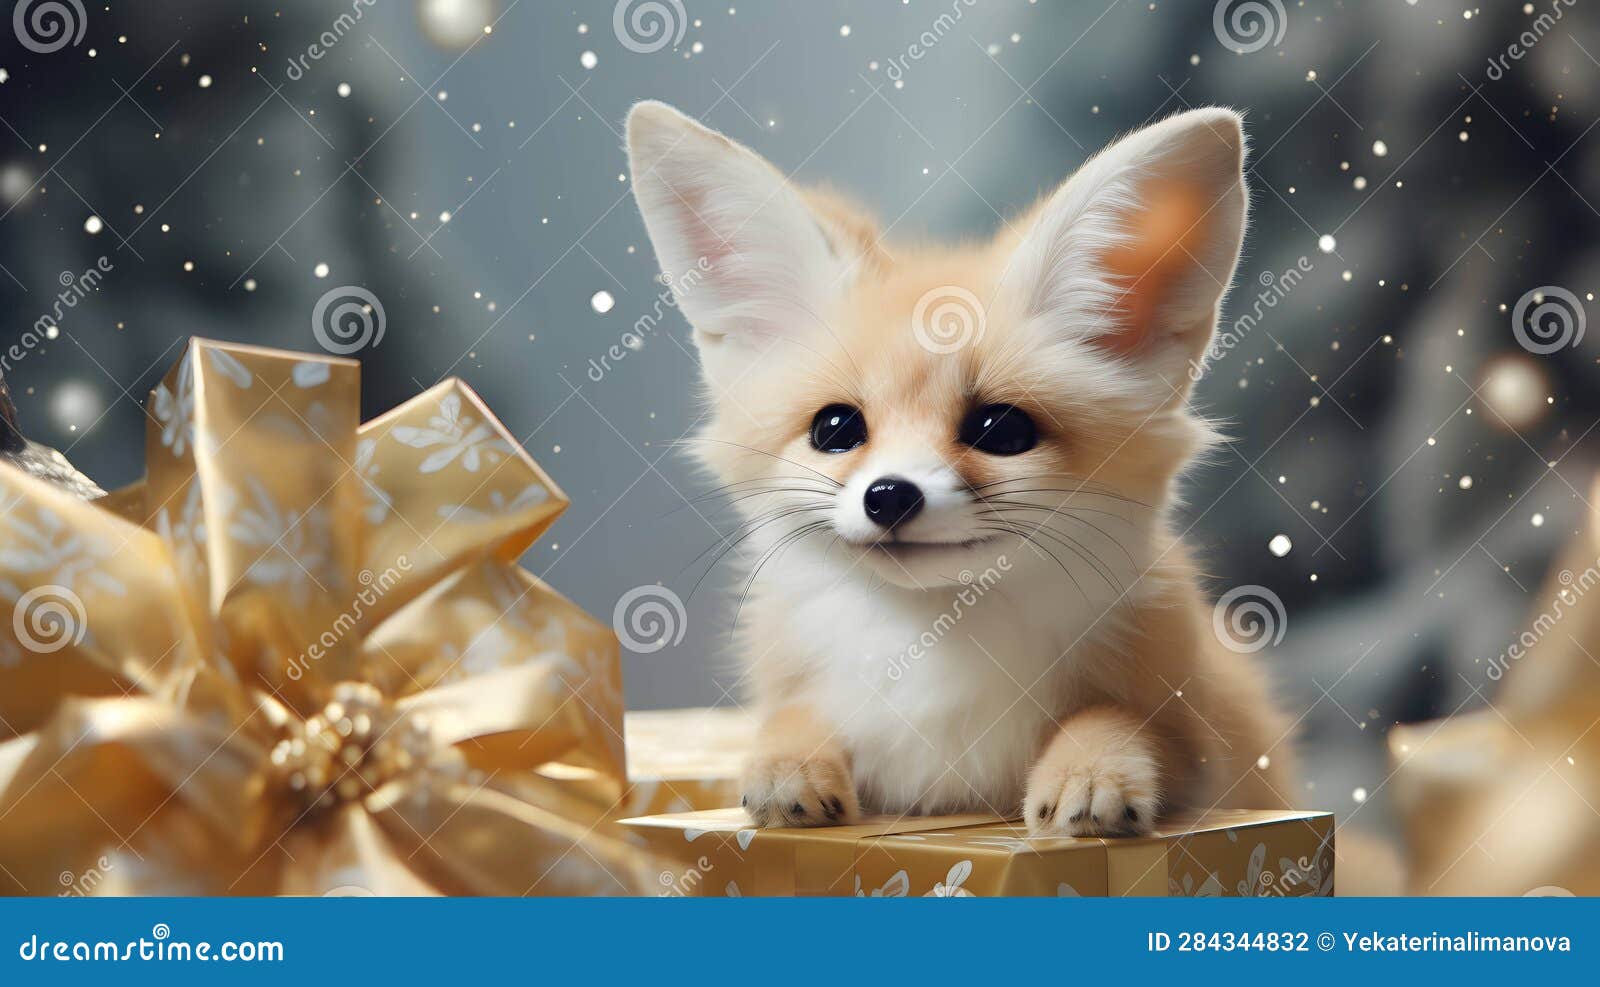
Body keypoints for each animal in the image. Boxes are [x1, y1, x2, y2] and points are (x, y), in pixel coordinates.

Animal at [624, 100, 1295, 837]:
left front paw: (1092, 772)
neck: (932, 646)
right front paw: (787, 767)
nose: (889, 495)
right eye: (836, 429)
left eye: (1000, 430)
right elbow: (794, 719)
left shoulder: (1202, 740)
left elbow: (1118, 719)